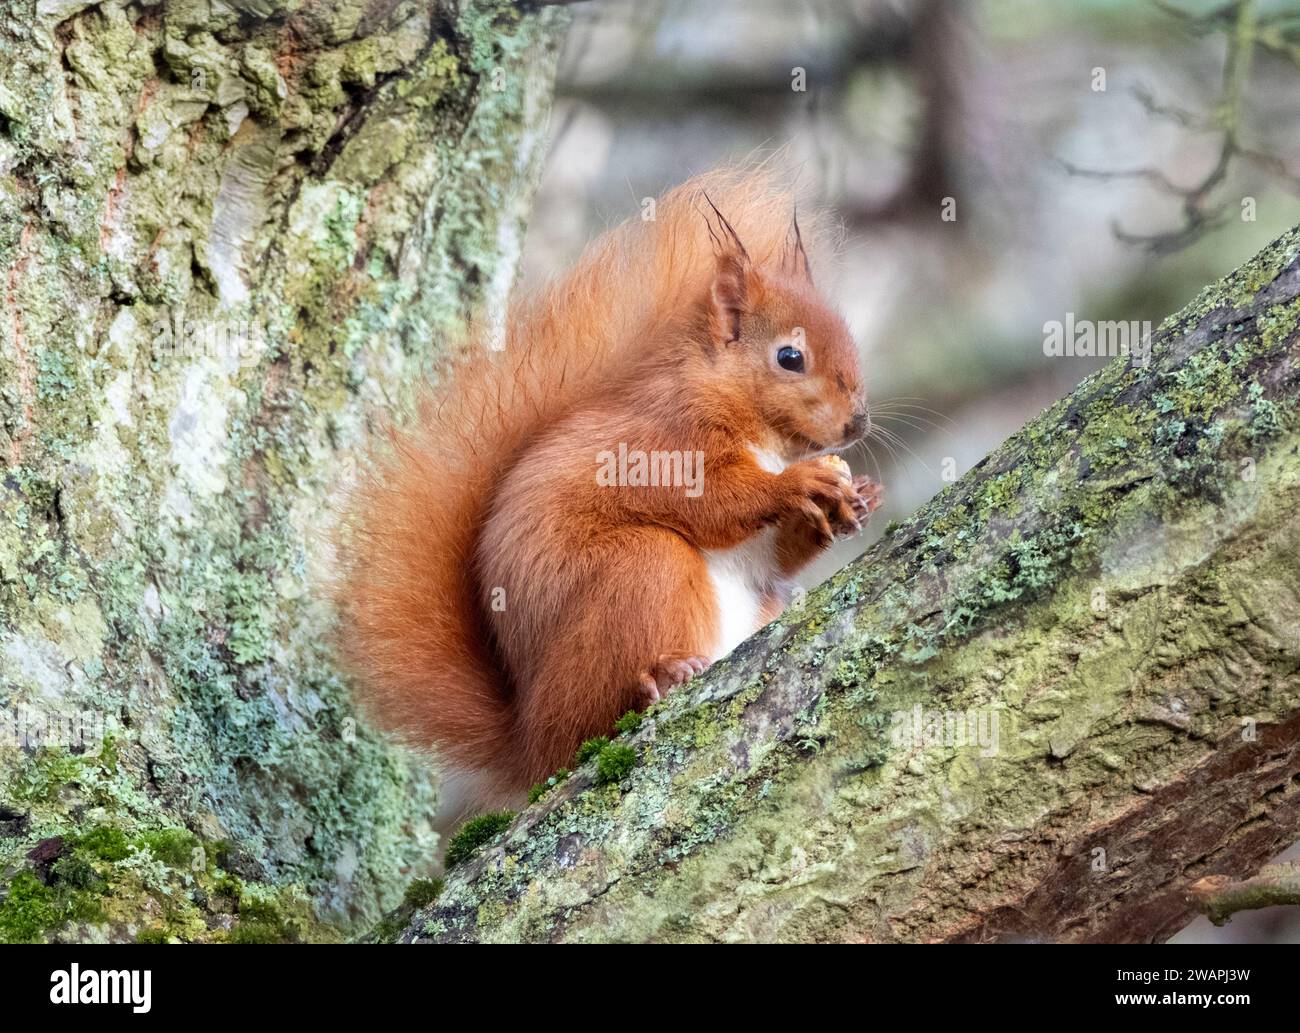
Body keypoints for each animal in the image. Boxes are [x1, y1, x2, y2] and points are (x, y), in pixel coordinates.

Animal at [341, 167, 881, 817]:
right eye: (790, 356)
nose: (858, 424)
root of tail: (529, 737)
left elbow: (773, 553)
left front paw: (855, 499)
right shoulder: (660, 445)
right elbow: (718, 503)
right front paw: (802, 482)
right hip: (639, 571)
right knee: (594, 716)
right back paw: (660, 678)